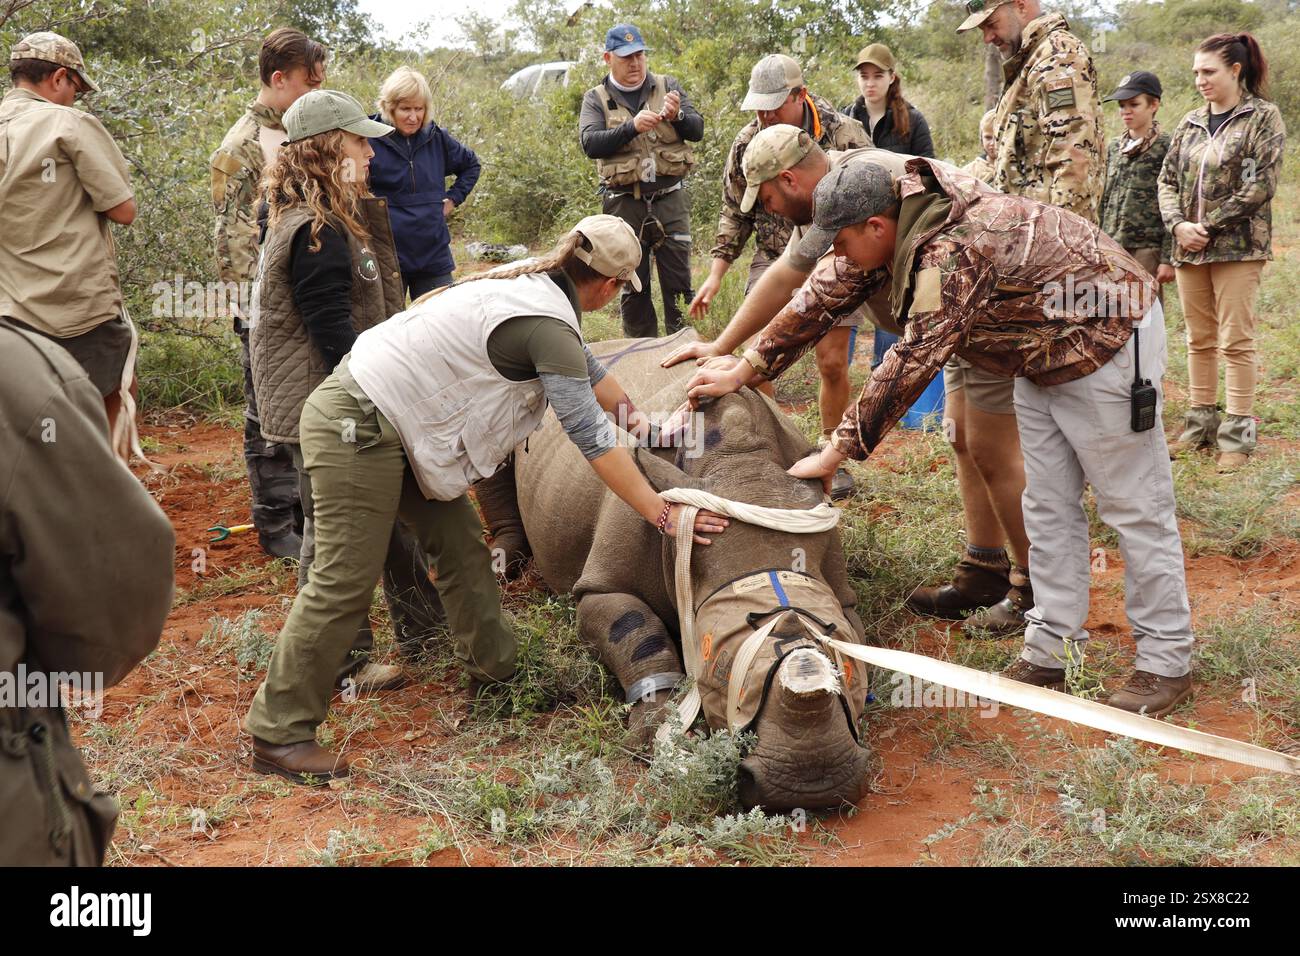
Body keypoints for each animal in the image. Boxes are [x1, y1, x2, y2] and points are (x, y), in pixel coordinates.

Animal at [475, 332, 873, 811]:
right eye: (718, 668)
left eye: (842, 658)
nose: (813, 785)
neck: (742, 471)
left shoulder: (840, 587)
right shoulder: (600, 586)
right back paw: (503, 563)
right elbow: (634, 631)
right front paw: (656, 733)